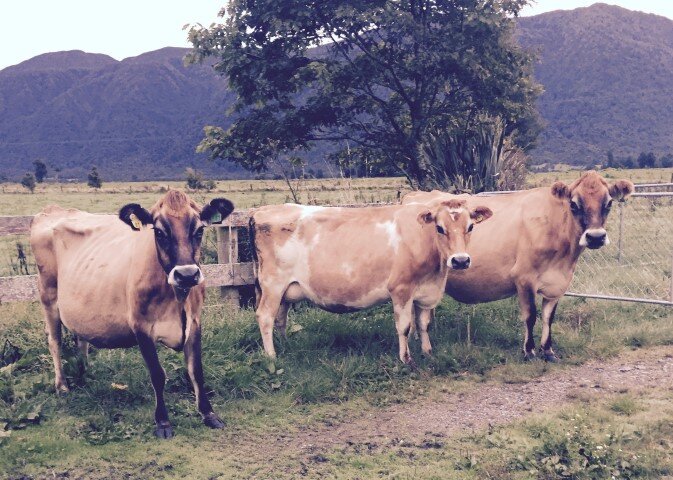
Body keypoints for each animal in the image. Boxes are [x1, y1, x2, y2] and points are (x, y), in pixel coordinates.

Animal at [30, 191, 234, 439]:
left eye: (199, 230)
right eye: (159, 232)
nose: (186, 275)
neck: (176, 295)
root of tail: (52, 210)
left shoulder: (194, 322)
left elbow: (197, 370)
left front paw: (208, 414)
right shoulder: (140, 326)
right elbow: (157, 374)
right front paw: (163, 422)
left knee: (82, 340)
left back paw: (86, 373)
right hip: (47, 294)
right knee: (55, 341)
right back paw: (62, 386)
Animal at [249, 201, 493, 364]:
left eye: (470, 227)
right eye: (439, 228)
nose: (460, 260)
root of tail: (261, 210)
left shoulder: (426, 292)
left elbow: (424, 324)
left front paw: (428, 352)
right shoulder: (401, 288)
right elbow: (405, 327)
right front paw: (406, 359)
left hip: (285, 290)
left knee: (280, 318)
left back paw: (286, 345)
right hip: (272, 284)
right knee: (266, 317)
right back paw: (272, 356)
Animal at [402, 171, 635, 362]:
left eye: (609, 203)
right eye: (574, 204)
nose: (595, 237)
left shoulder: (558, 283)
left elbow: (548, 317)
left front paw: (548, 351)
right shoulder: (524, 278)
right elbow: (530, 316)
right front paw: (529, 351)